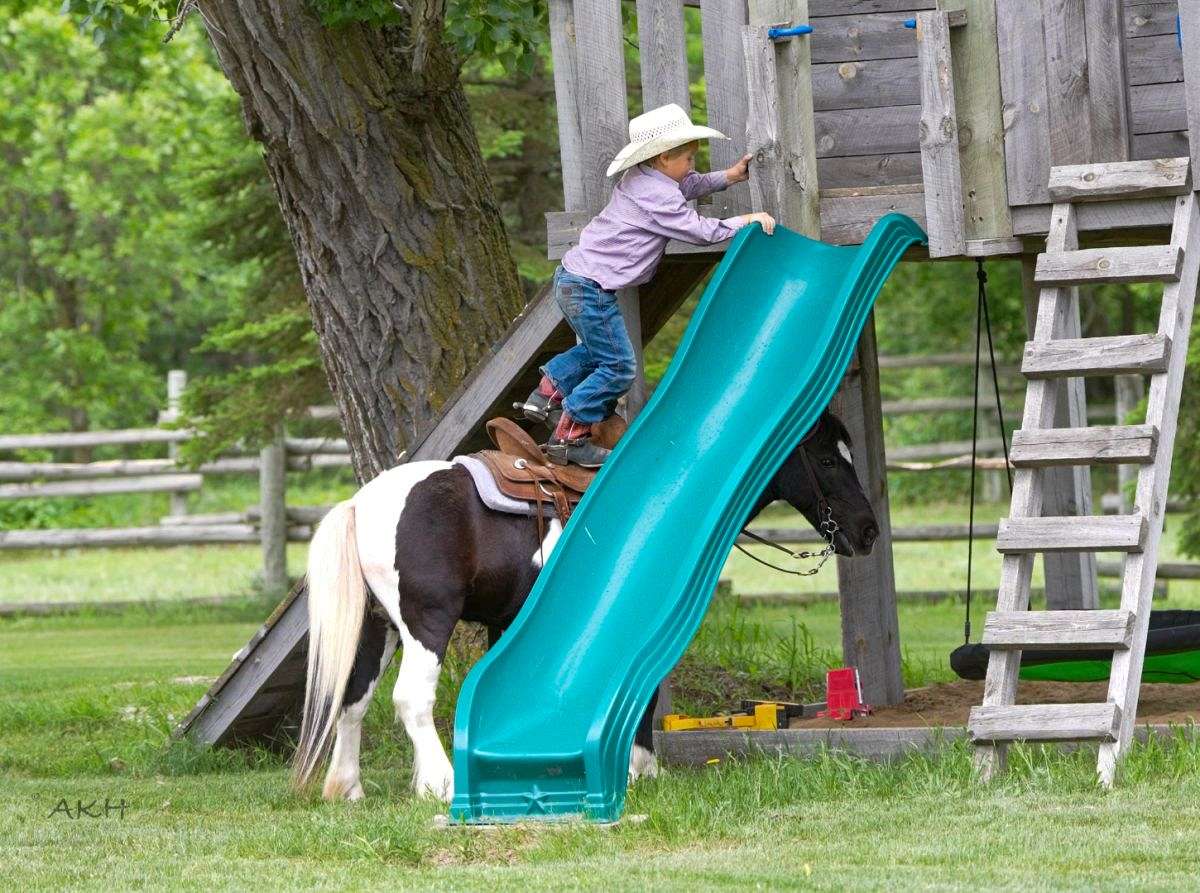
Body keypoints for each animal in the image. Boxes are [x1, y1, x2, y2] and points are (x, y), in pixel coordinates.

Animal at [291, 410, 878, 803]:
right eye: (828, 459)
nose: (868, 531)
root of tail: (360, 504)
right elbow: (644, 693)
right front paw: (641, 769)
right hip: (427, 622)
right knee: (410, 699)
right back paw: (441, 783)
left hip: (380, 628)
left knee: (353, 699)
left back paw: (346, 787)